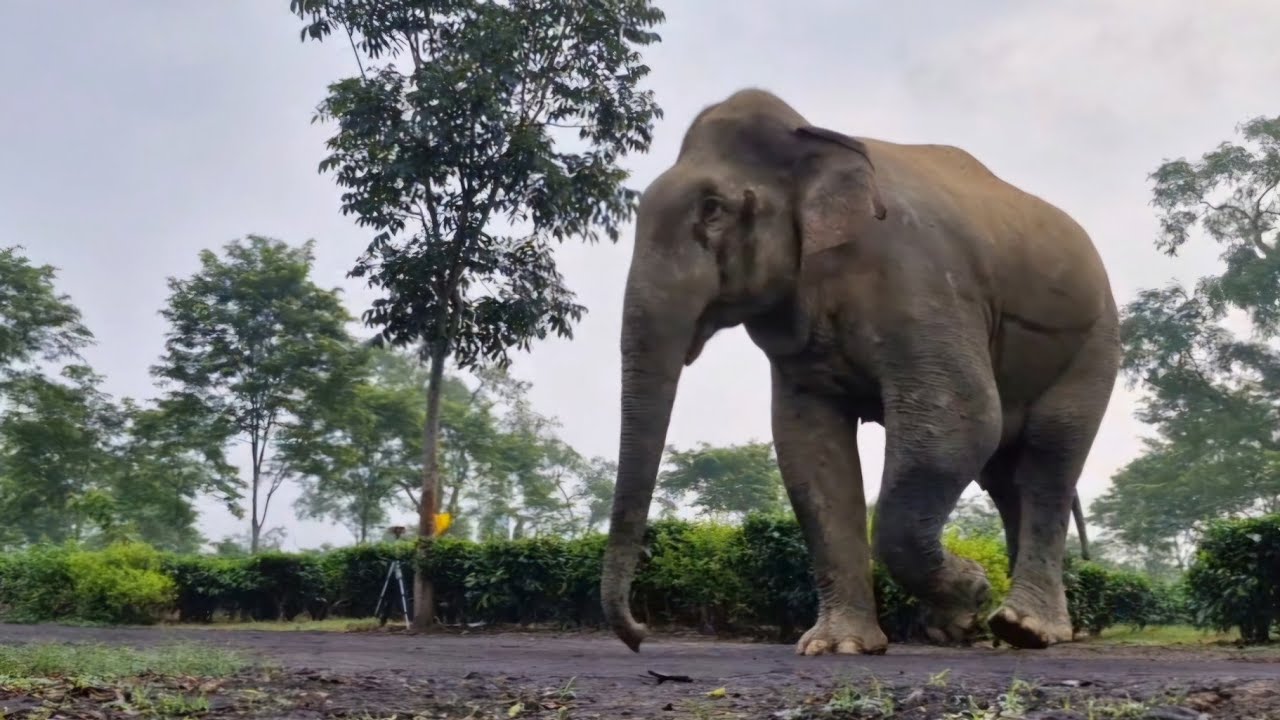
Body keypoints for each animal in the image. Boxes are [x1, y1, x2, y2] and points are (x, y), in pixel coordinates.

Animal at [599, 88, 1120, 656]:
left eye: (713, 209)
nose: (639, 636)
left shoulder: (920, 283)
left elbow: (960, 421)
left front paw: (971, 594)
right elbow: (809, 450)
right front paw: (842, 646)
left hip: (1094, 345)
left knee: (1049, 459)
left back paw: (1026, 627)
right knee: (1007, 476)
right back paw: (1012, 629)